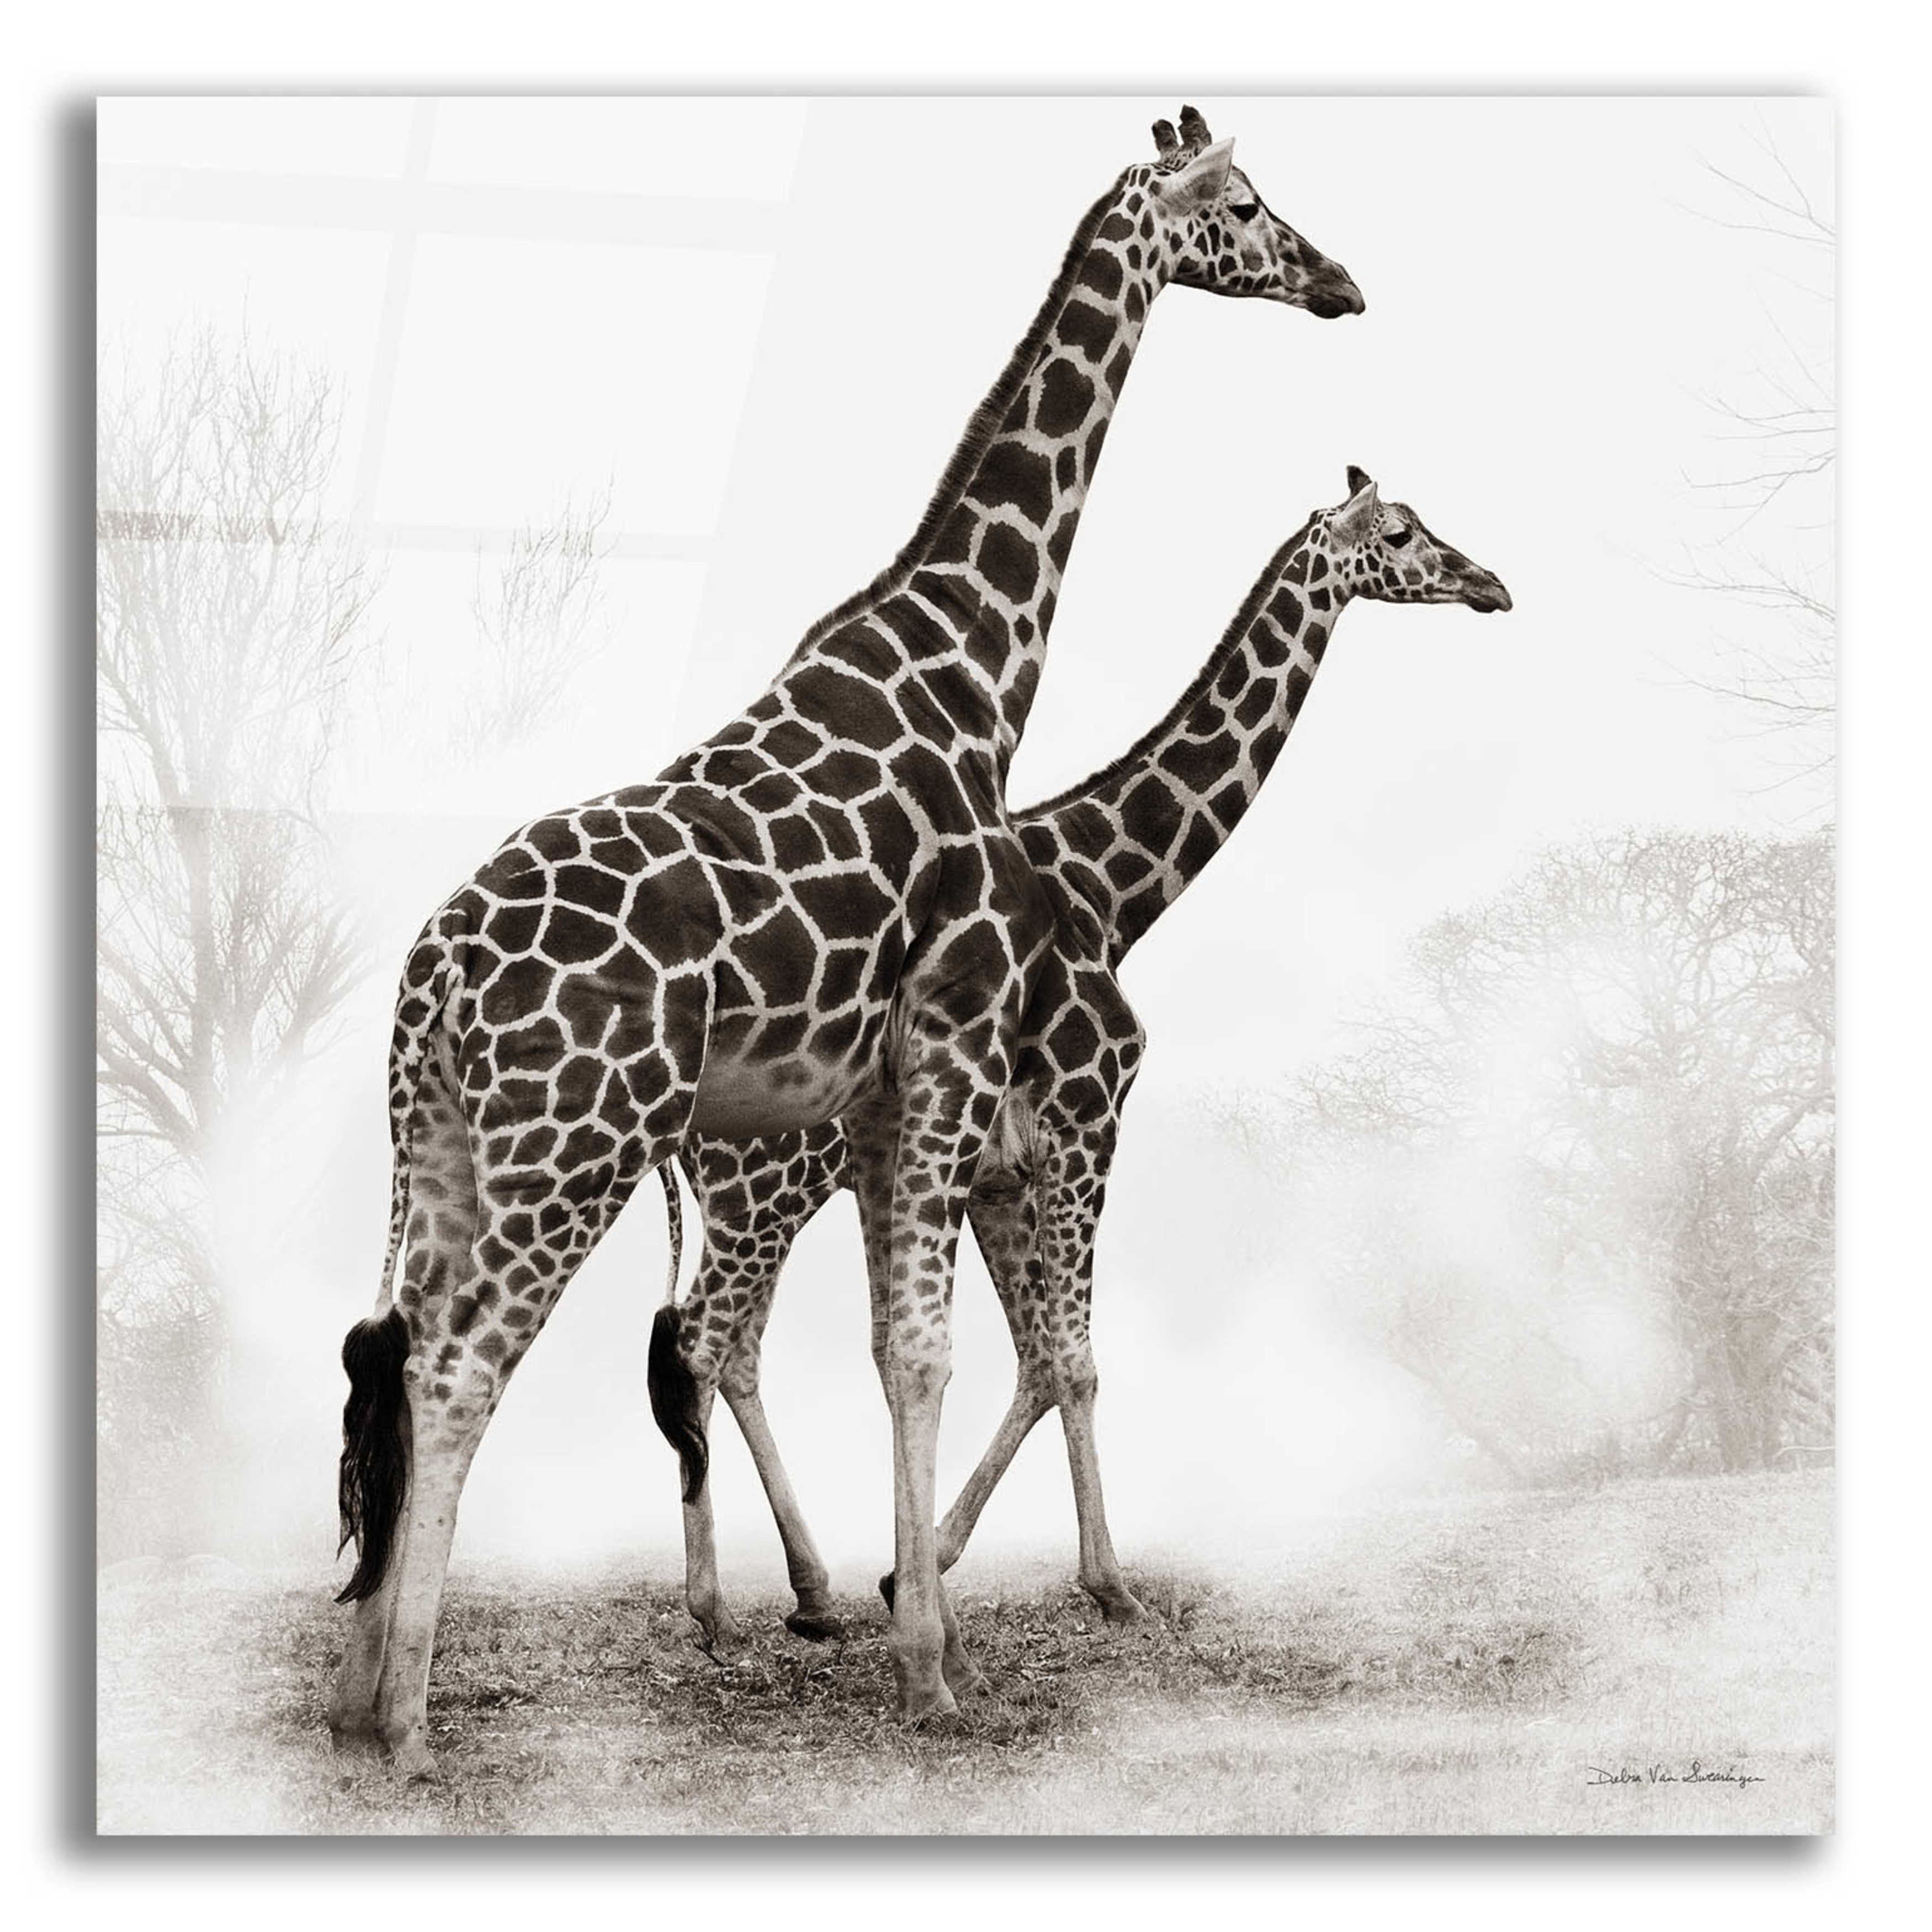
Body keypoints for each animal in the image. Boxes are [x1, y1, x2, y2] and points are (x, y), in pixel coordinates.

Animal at [330, 107, 1364, 1772]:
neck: (971, 670)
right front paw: (931, 1663)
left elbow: (908, 1348)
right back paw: (418, 1720)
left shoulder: (896, 1098)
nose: (1340, 283)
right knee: (468, 1363)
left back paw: (359, 1696)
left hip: (445, 1144)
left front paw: (908, 1620)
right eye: (1250, 203)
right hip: (576, 1146)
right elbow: (942, 1350)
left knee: (402, 1351)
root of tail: (434, 977)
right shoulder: (956, 1046)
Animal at [650, 467, 1511, 1646]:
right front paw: (1105, 1582)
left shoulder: (1002, 1171)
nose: (1492, 585)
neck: (1116, 890)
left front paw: (916, 1570)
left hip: (771, 1194)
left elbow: (1031, 1363)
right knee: (702, 1341)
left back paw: (812, 1592)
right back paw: (715, 1602)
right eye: (1402, 531)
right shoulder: (1088, 1117)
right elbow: (1074, 1363)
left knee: (734, 1347)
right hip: (765, 1189)